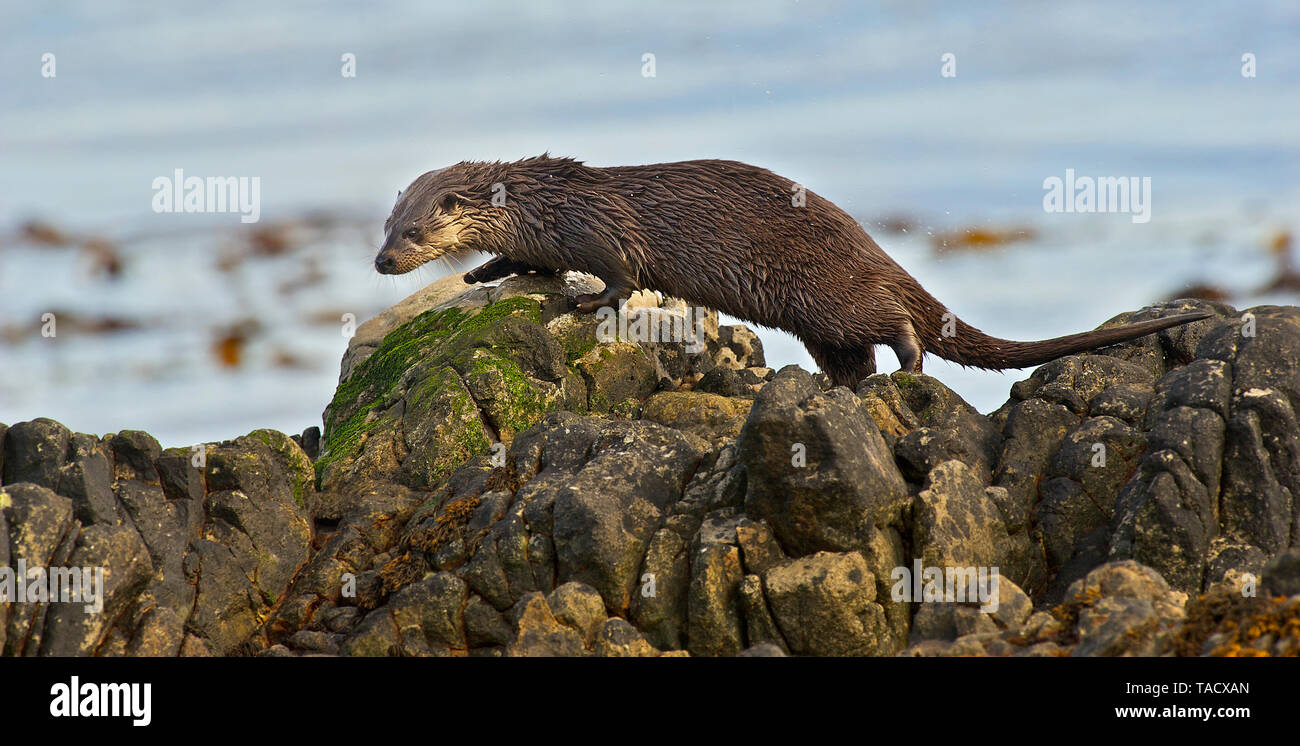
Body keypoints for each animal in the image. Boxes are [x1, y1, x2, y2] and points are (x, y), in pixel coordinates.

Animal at [374, 155, 1210, 388]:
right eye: (386, 226)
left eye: (413, 231)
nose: (383, 260)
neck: (542, 201)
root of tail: (873, 249)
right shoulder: (544, 233)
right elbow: (519, 258)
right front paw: (482, 275)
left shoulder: (598, 228)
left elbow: (619, 275)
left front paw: (585, 305)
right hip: (821, 324)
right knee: (854, 354)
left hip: (831, 295)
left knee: (895, 322)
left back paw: (908, 365)